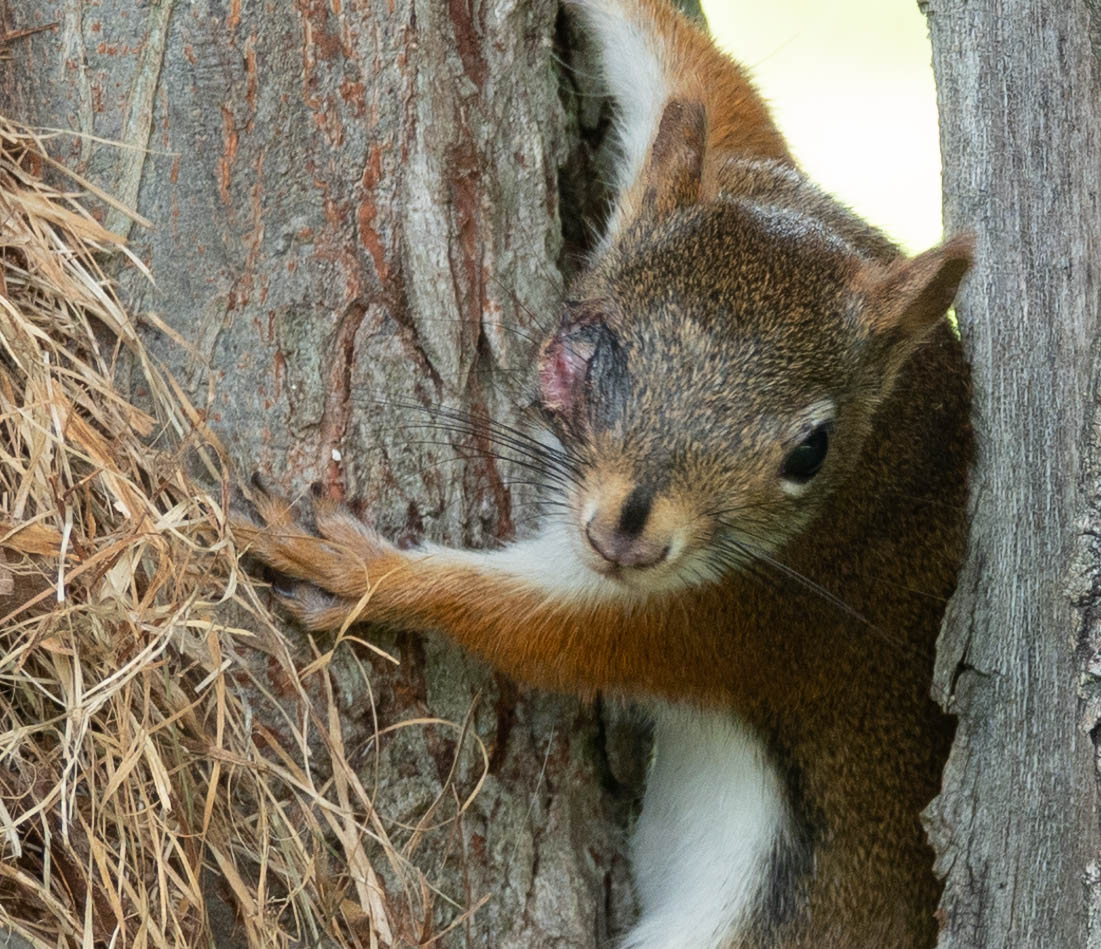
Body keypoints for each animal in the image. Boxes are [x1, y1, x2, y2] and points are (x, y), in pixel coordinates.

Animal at [234, 1, 973, 946]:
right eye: (596, 344)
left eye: (809, 450)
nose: (628, 536)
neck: (886, 446)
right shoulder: (748, 158)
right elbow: (692, 69)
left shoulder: (746, 610)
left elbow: (538, 628)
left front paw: (362, 570)